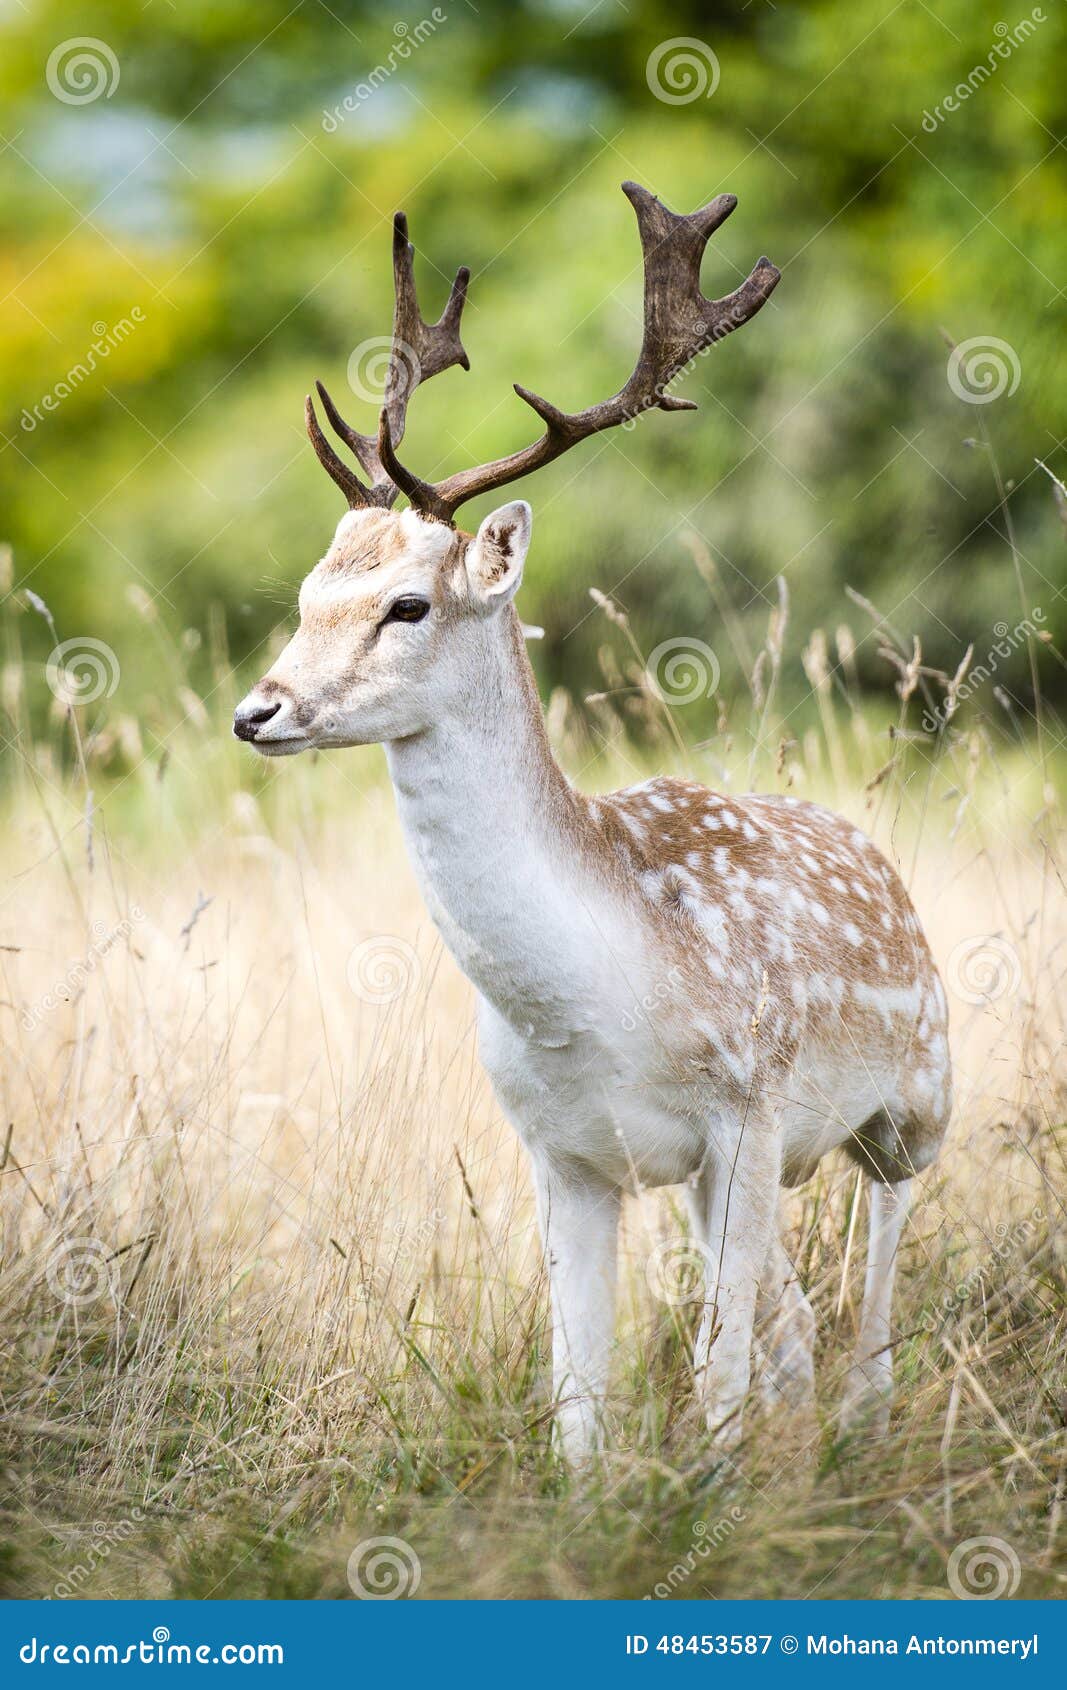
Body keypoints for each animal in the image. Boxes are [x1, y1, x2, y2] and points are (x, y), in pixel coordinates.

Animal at [234, 183, 952, 1462]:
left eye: (406, 604)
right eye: (310, 593)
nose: (255, 711)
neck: (596, 995)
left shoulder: (744, 1109)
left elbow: (712, 1378)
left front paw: (712, 1496)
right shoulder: (561, 1151)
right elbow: (580, 1393)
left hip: (916, 1095)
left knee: (872, 1267)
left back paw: (861, 1429)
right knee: (792, 1326)